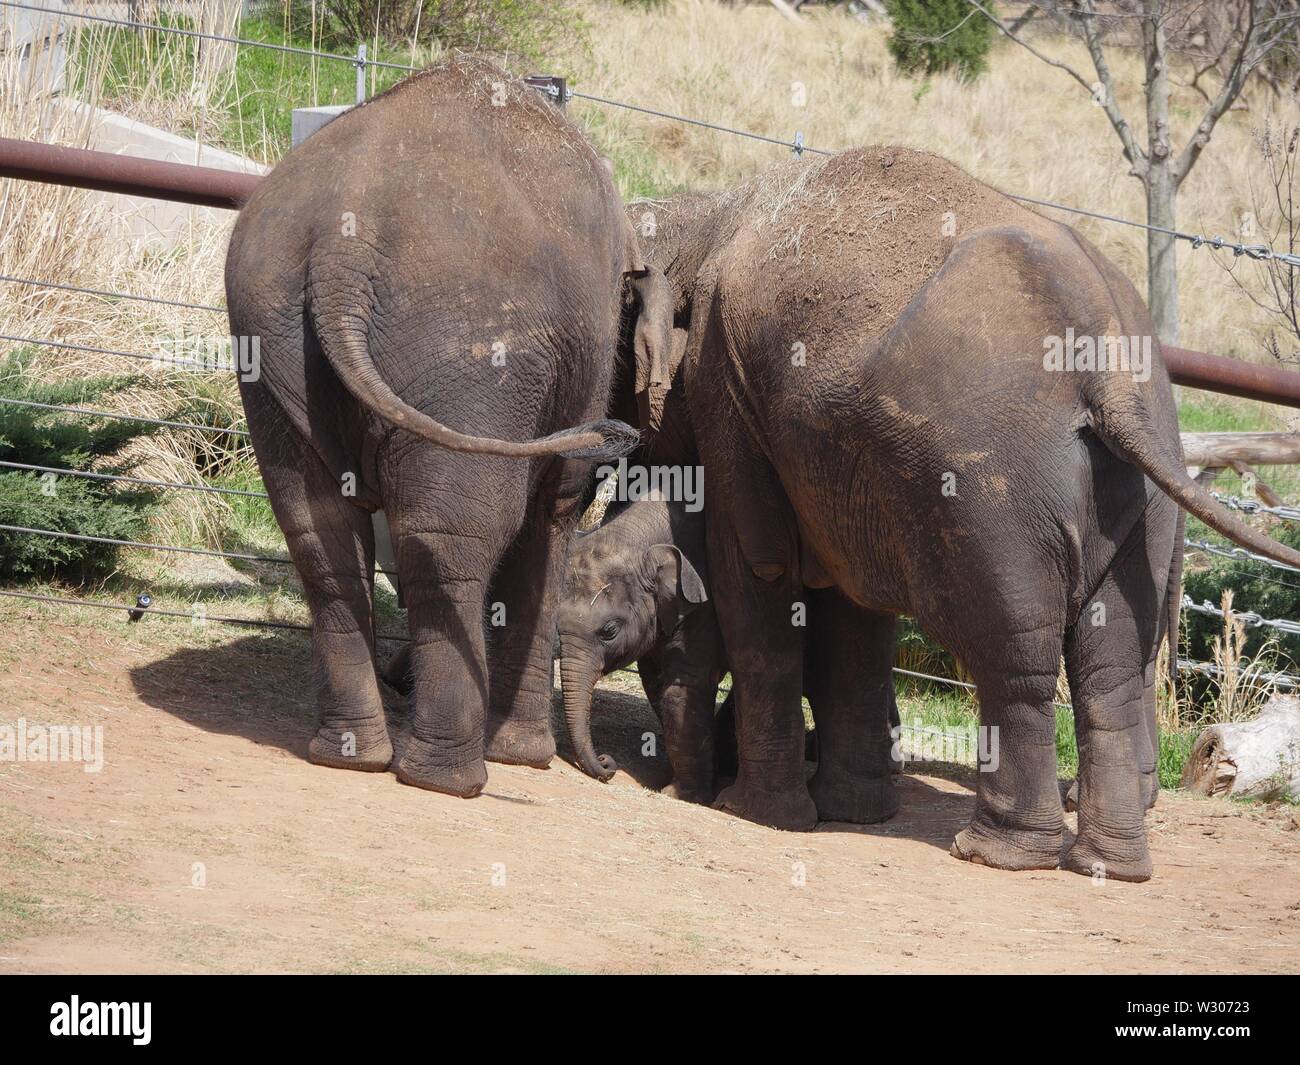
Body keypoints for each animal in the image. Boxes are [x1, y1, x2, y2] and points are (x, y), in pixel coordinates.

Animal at [224, 55, 672, 799]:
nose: (607, 772)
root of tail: (342, 252)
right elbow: (553, 515)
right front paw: (526, 756)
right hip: (472, 349)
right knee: (451, 536)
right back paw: (450, 778)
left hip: (267, 327)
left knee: (318, 529)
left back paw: (352, 755)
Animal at [623, 147, 1300, 881]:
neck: (709, 212)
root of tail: (1108, 369)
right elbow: (853, 610)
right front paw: (855, 811)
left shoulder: (727, 392)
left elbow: (760, 567)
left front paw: (754, 812)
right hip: (1139, 496)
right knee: (1111, 668)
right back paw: (1108, 866)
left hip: (993, 490)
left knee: (1014, 654)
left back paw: (997, 852)